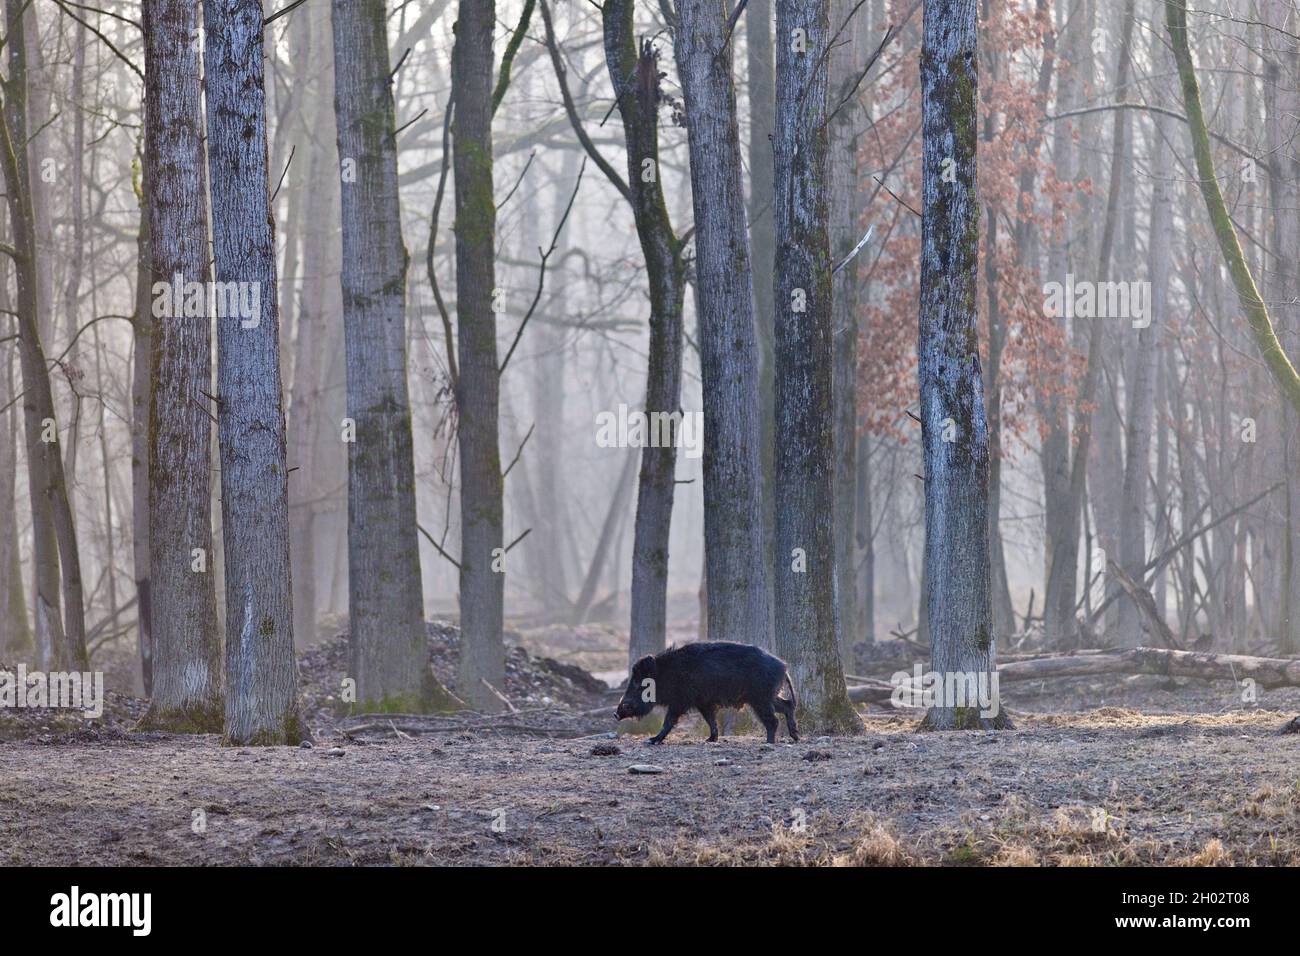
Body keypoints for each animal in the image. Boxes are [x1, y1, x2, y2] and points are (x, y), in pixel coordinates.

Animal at [614, 641, 799, 745]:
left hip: (760, 698)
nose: (615, 713)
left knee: (773, 720)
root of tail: (783, 666)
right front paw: (710, 740)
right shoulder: (703, 702)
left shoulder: (680, 701)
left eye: (638, 683)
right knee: (787, 705)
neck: (666, 673)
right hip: (767, 696)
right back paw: (795, 737)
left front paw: (651, 741)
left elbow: (669, 721)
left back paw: (769, 743)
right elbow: (711, 720)